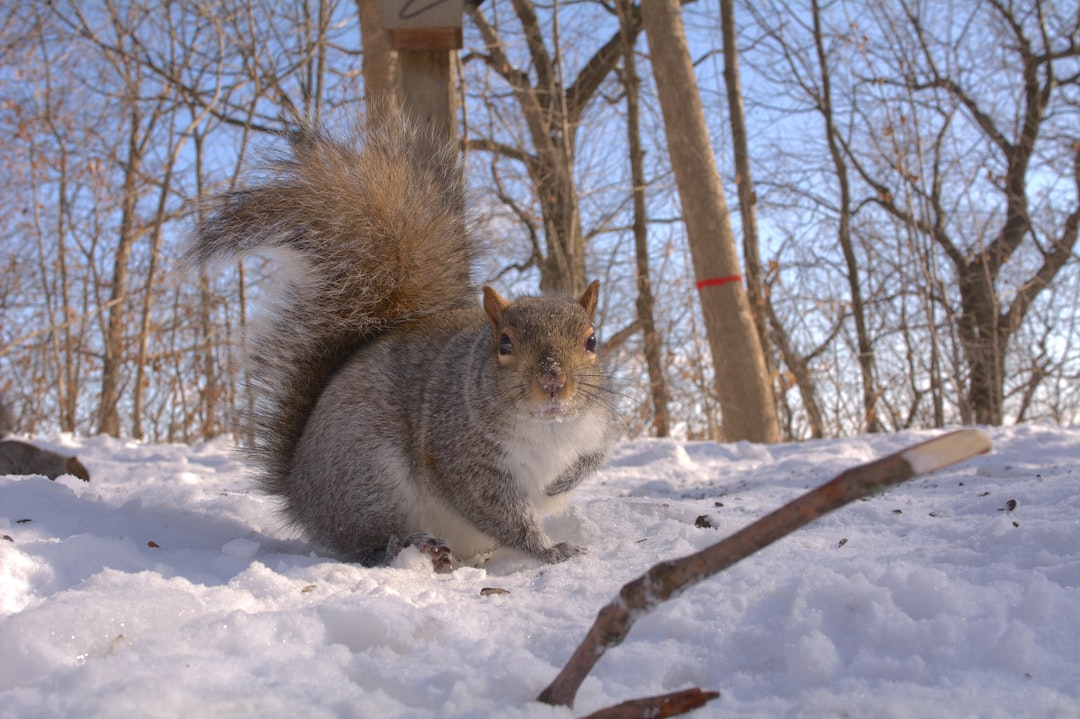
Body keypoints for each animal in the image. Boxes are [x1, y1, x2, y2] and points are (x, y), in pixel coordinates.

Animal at [187, 110, 617, 571]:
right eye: (504, 344)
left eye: (592, 341)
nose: (553, 380)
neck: (548, 427)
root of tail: (299, 495)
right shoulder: (462, 455)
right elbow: (497, 510)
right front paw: (550, 550)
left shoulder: (595, 426)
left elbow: (595, 459)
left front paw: (560, 485)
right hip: (368, 479)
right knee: (366, 544)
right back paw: (412, 546)